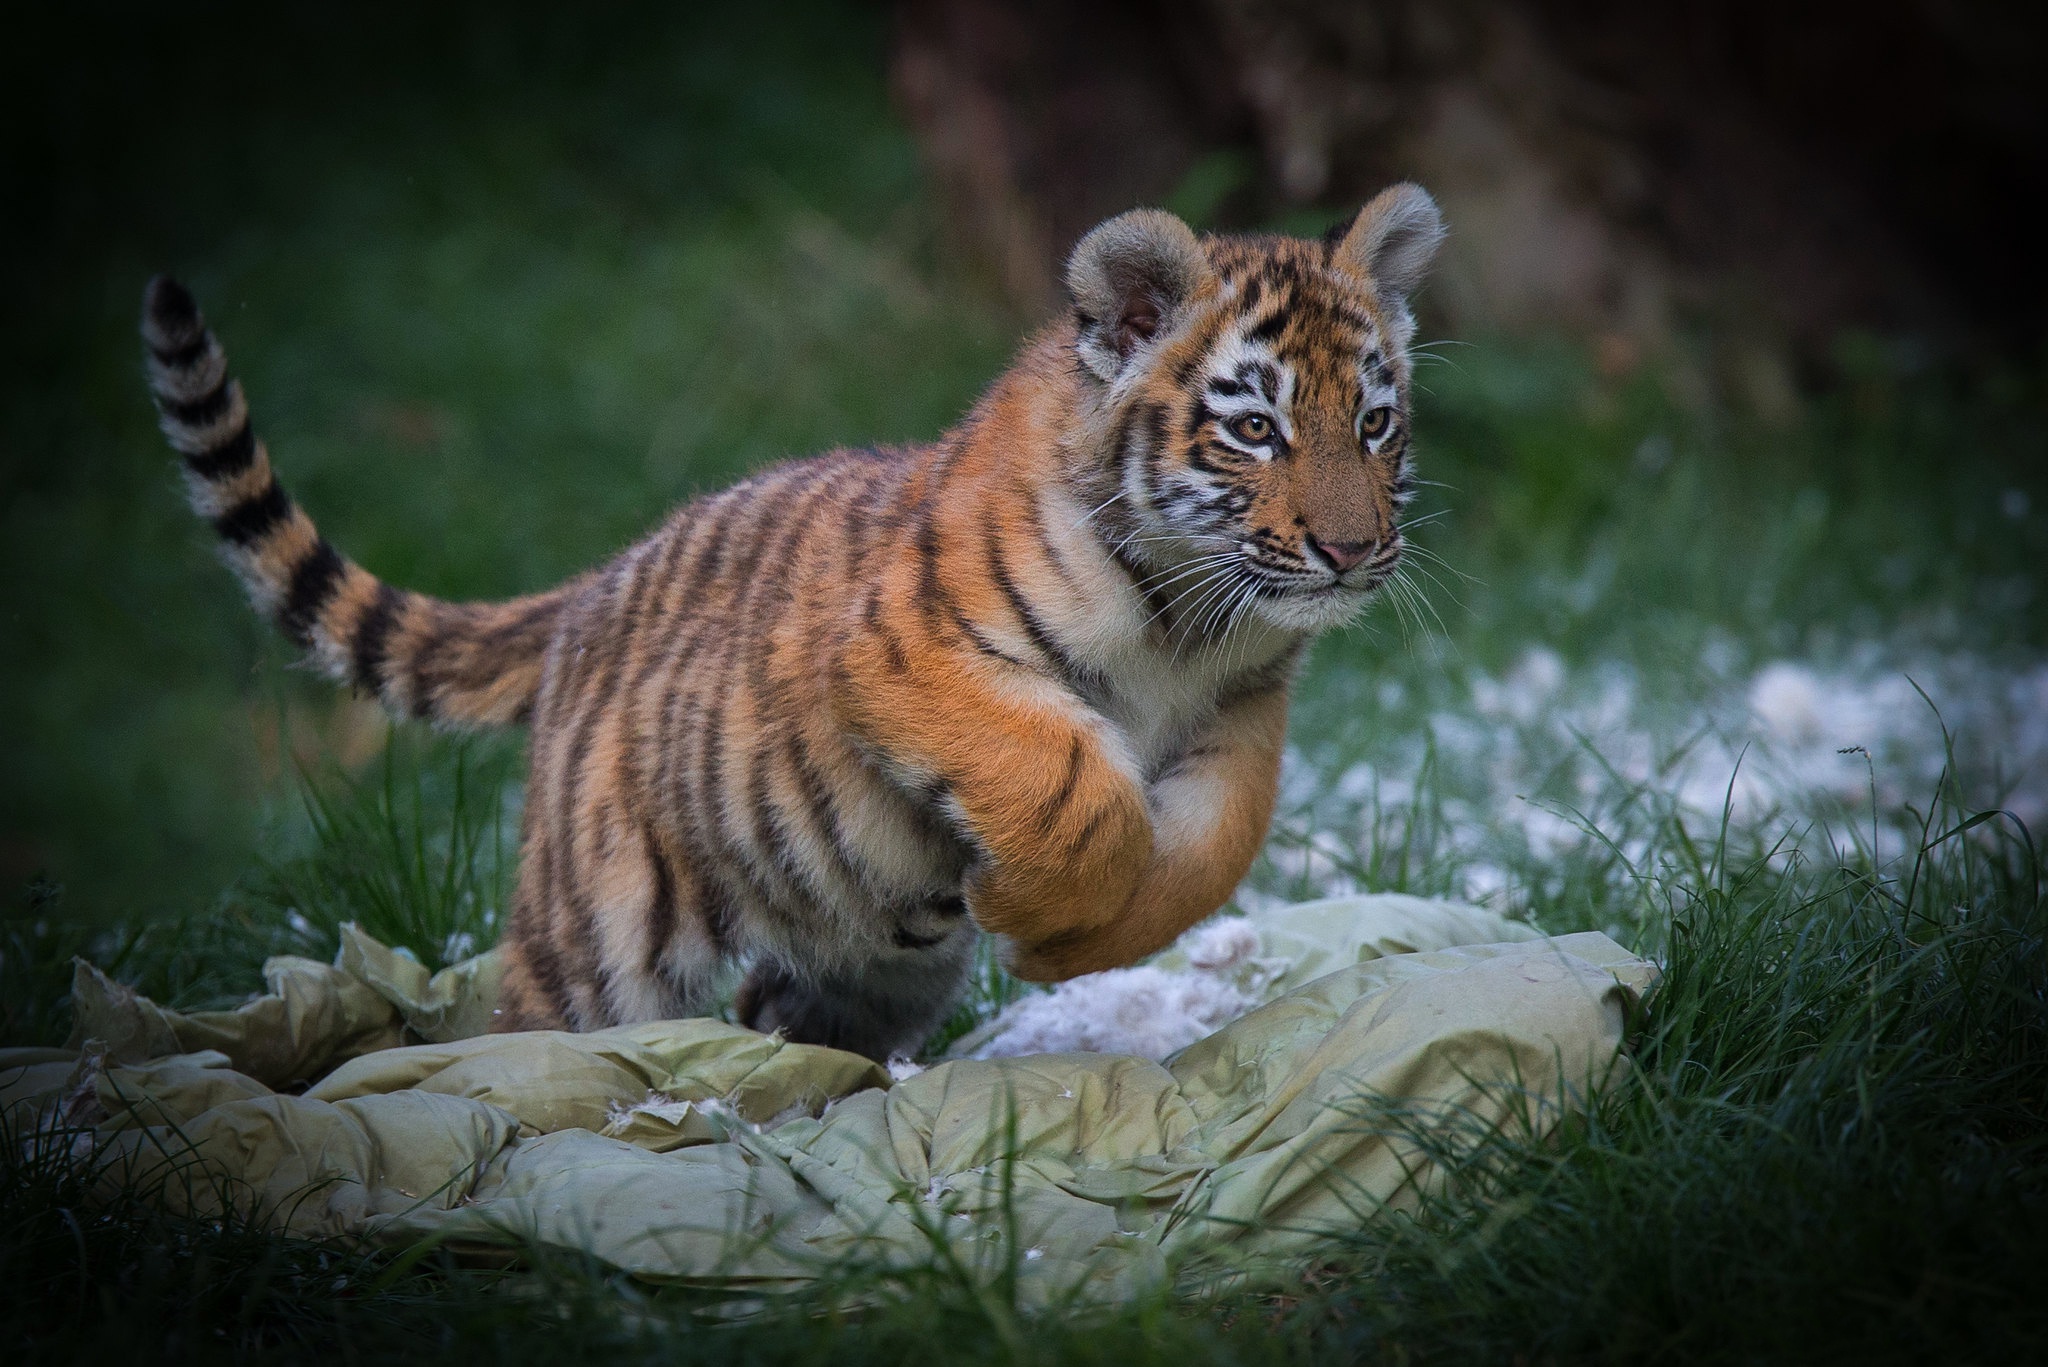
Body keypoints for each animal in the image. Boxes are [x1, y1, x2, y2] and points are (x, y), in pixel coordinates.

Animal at [140, 183, 1444, 1062]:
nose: (1348, 550)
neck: (1189, 621)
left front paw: (1070, 943)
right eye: (1255, 428)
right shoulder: (901, 654)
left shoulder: (1240, 713)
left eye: (1373, 422)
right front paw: (1039, 914)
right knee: (529, 1023)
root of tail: (592, 584)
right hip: (598, 937)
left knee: (784, 1008)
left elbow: (1213, 843)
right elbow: (1067, 780)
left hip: (871, 965)